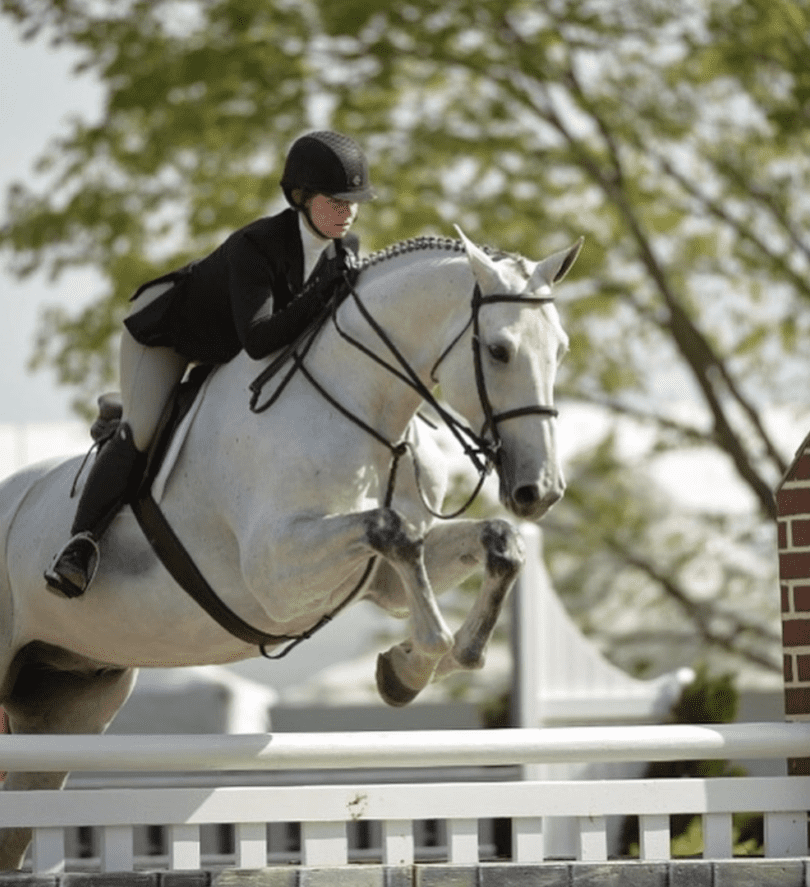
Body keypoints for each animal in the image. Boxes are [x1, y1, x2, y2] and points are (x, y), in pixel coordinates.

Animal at [0, 227, 581, 869]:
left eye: (560, 351)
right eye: (499, 351)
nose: (539, 490)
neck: (362, 408)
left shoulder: (380, 581)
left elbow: (498, 543)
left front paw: (420, 663)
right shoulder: (275, 576)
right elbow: (393, 532)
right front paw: (418, 659)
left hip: (67, 703)